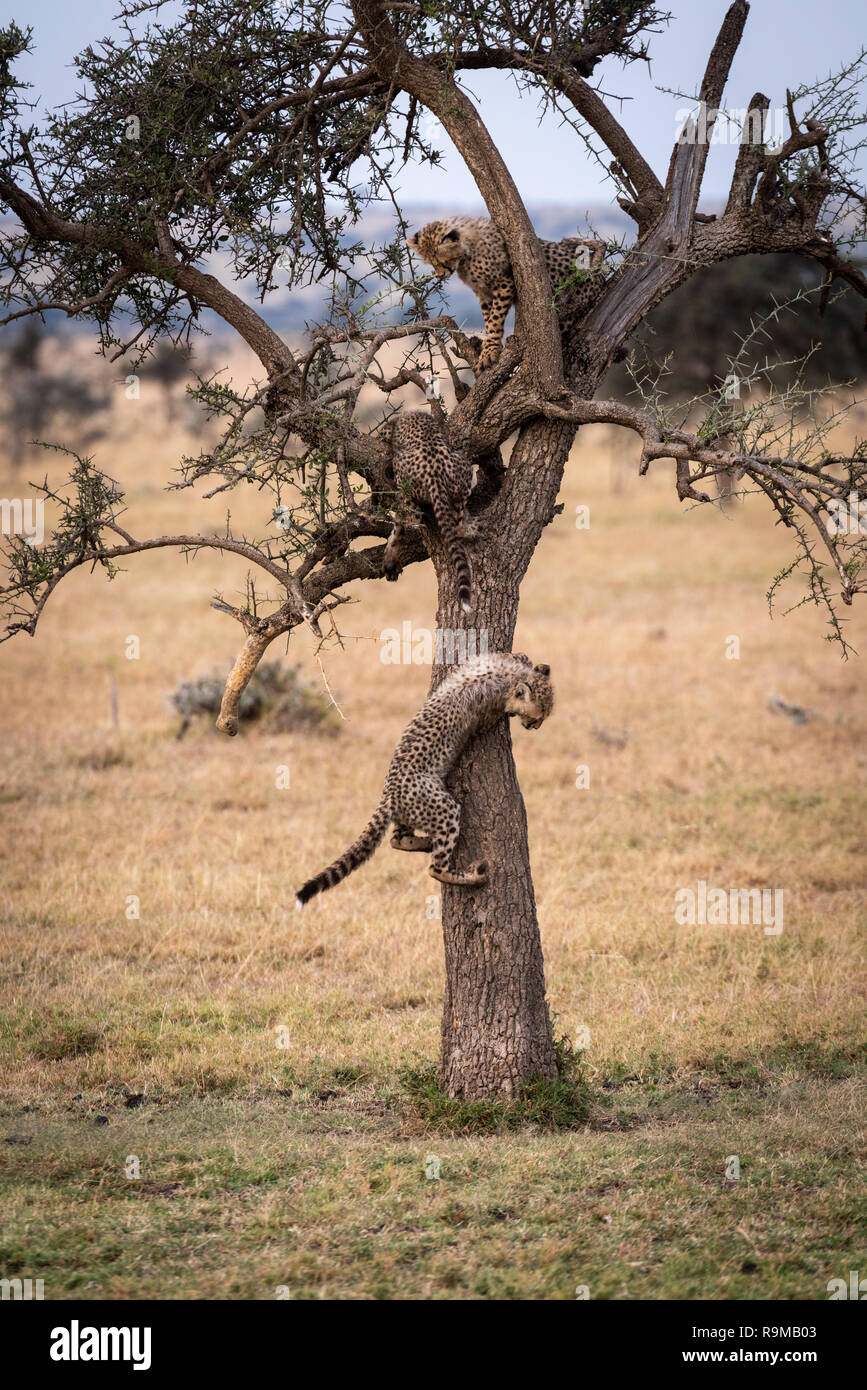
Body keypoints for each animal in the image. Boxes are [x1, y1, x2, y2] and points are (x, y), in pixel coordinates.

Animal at [295, 652, 554, 906]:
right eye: (536, 718)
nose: (533, 727)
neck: (511, 678)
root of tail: (389, 795)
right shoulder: (486, 712)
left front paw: (533, 662)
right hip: (444, 808)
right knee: (434, 868)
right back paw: (470, 876)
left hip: (410, 815)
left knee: (397, 840)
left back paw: (425, 842)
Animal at [383, 411, 477, 614]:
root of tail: (435, 473)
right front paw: (390, 561)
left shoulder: (388, 429)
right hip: (463, 472)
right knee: (455, 525)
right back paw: (470, 527)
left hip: (402, 473)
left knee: (413, 518)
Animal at [407, 215, 605, 369]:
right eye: (431, 263)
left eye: (442, 261)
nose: (441, 275)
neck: (467, 252)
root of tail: (600, 274)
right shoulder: (483, 293)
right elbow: (488, 318)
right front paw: (490, 346)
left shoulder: (504, 283)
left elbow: (495, 319)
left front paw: (490, 351)